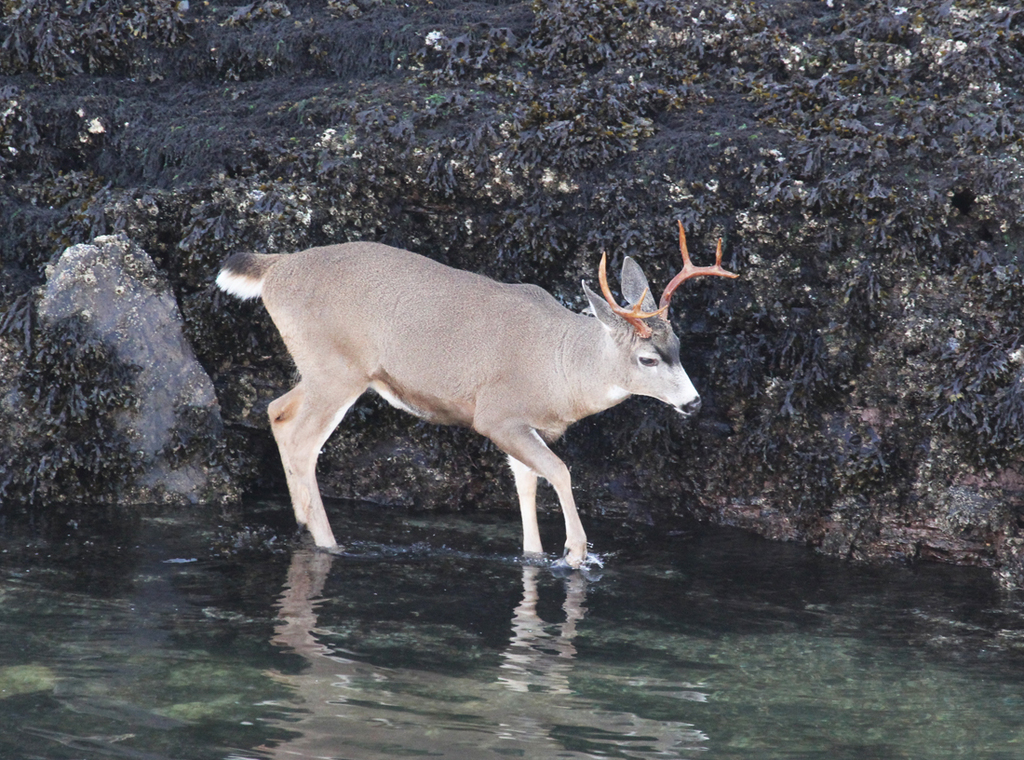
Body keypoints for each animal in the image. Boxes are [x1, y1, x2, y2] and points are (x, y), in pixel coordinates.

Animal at [216, 222, 737, 568]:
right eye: (648, 360)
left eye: (679, 347)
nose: (693, 403)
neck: (562, 369)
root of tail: (276, 268)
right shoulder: (496, 413)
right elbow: (559, 471)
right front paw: (575, 553)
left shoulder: (523, 426)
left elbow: (527, 482)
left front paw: (535, 554)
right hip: (338, 369)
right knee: (303, 439)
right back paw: (327, 542)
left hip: (319, 368)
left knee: (277, 411)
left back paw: (302, 523)